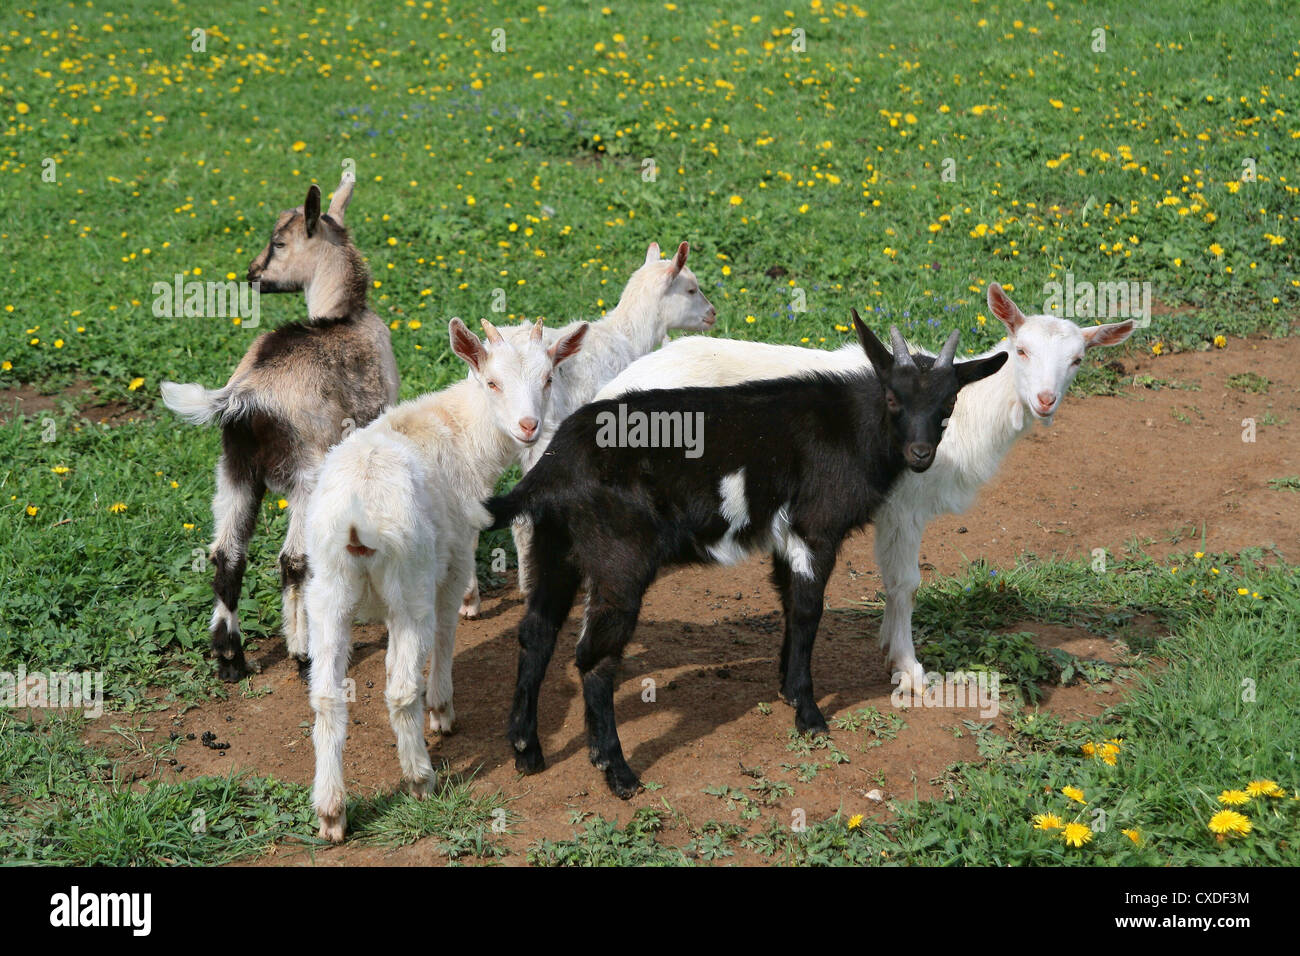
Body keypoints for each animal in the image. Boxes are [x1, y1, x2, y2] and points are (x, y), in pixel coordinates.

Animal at [160, 173, 399, 681]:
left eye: (278, 242)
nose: (252, 273)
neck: (344, 316)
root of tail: (244, 397)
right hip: (304, 474)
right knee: (292, 560)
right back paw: (302, 651)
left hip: (233, 472)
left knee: (227, 555)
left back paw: (230, 658)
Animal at [306, 317, 587, 842]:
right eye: (492, 383)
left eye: (548, 379)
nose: (529, 427)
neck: (459, 431)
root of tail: (357, 518)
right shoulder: (454, 554)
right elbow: (448, 626)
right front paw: (442, 711)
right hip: (407, 585)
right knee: (400, 687)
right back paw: (420, 778)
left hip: (327, 591)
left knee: (327, 695)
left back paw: (331, 812)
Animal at [459, 240, 716, 617]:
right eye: (691, 289)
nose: (712, 314)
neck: (628, 336)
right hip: (538, 433)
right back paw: (529, 584)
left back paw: (469, 600)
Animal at [484, 315, 1006, 798]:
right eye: (894, 398)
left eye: (948, 404)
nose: (920, 454)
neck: (851, 428)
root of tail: (552, 467)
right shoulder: (814, 529)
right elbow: (808, 610)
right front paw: (810, 715)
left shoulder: (785, 537)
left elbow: (788, 604)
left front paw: (788, 690)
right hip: (618, 561)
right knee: (594, 656)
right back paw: (618, 772)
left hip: (555, 549)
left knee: (537, 633)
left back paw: (528, 751)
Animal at [597, 283, 1134, 690]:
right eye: (1021, 350)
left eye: (1078, 360)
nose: (1045, 400)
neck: (969, 414)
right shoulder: (903, 506)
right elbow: (905, 582)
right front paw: (909, 668)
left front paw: (889, 646)